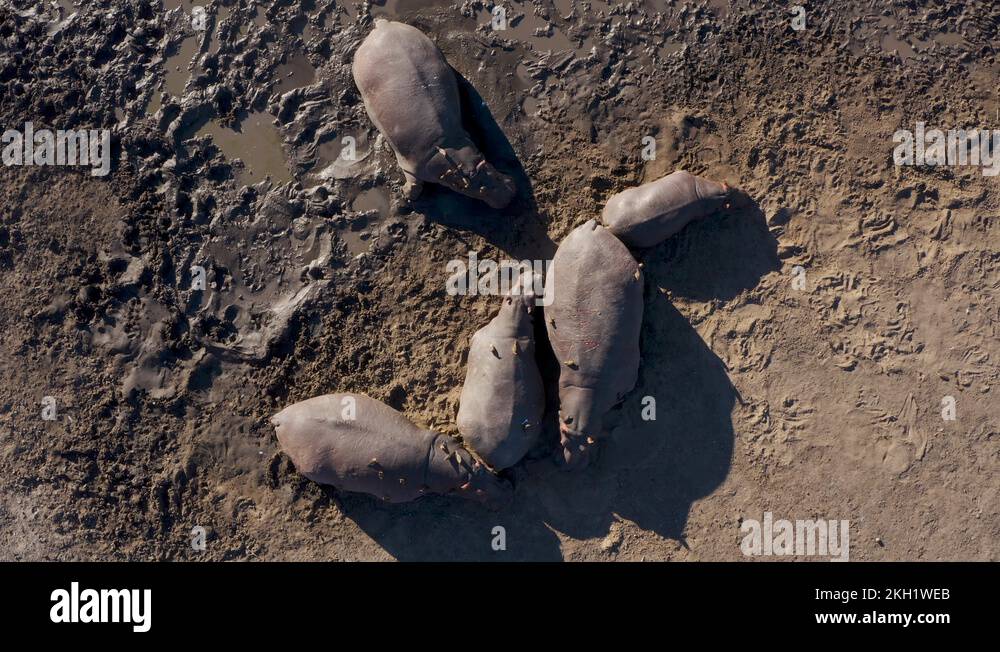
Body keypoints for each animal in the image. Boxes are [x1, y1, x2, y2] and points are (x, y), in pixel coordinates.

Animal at [351, 19, 516, 209]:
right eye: (470, 188)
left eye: (485, 162)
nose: (508, 195)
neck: (445, 147)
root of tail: (383, 25)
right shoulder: (412, 166)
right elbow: (414, 185)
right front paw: (405, 194)